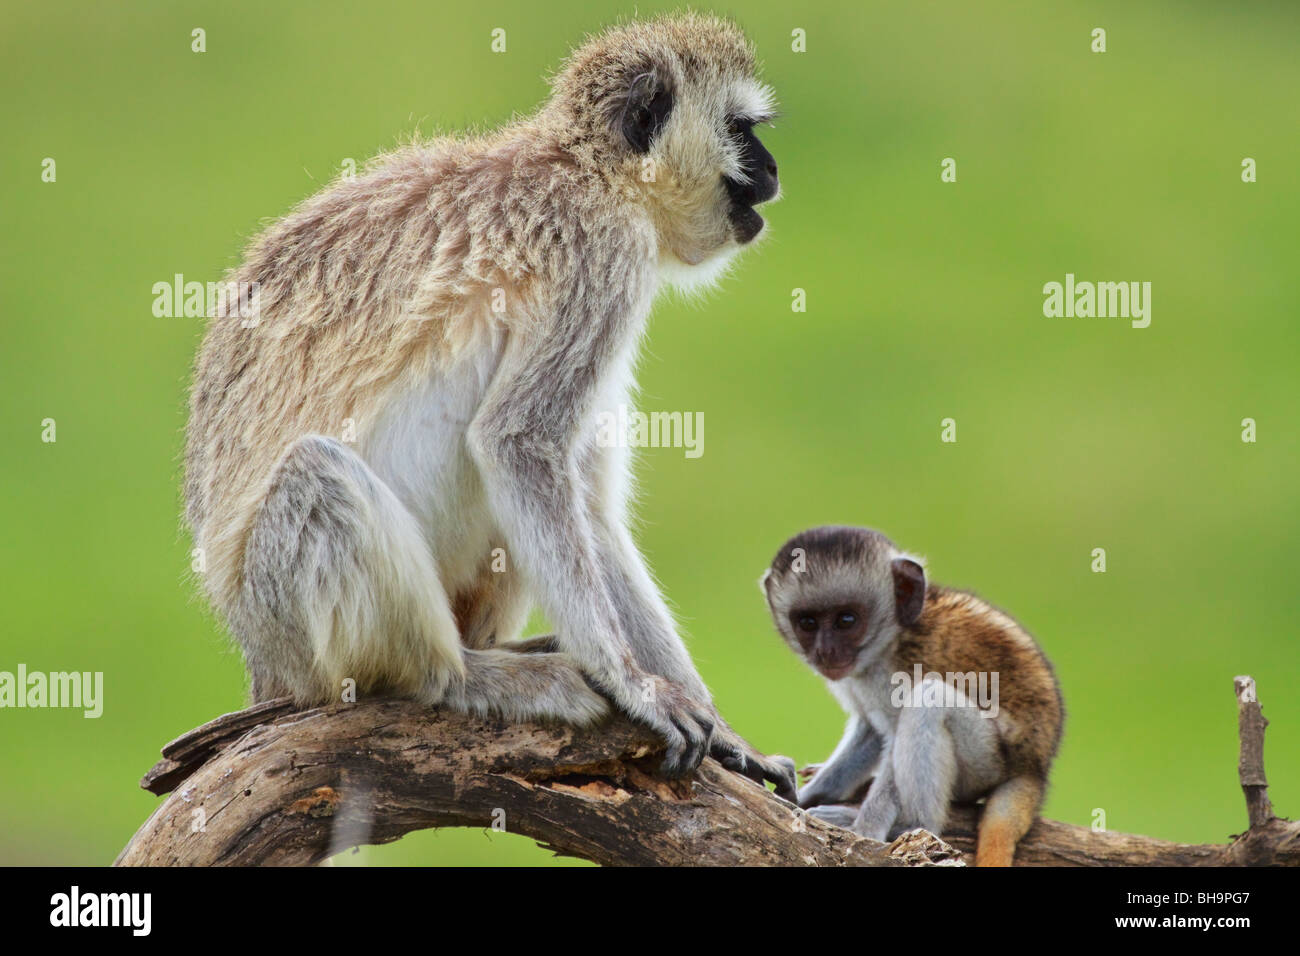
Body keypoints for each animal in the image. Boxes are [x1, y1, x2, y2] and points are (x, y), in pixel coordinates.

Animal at [183, 14, 797, 799]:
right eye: (743, 130)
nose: (775, 171)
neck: (590, 171)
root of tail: (260, 661)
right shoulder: (603, 258)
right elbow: (518, 444)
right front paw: (636, 687)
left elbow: (586, 503)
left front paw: (723, 732)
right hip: (285, 621)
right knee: (318, 475)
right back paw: (460, 678)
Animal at [760, 526, 1063, 866]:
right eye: (808, 623)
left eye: (846, 620)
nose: (826, 651)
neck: (891, 641)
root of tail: (1035, 766)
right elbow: (871, 732)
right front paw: (805, 795)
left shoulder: (900, 670)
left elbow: (894, 736)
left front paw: (864, 829)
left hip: (988, 764)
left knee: (929, 701)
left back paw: (914, 825)